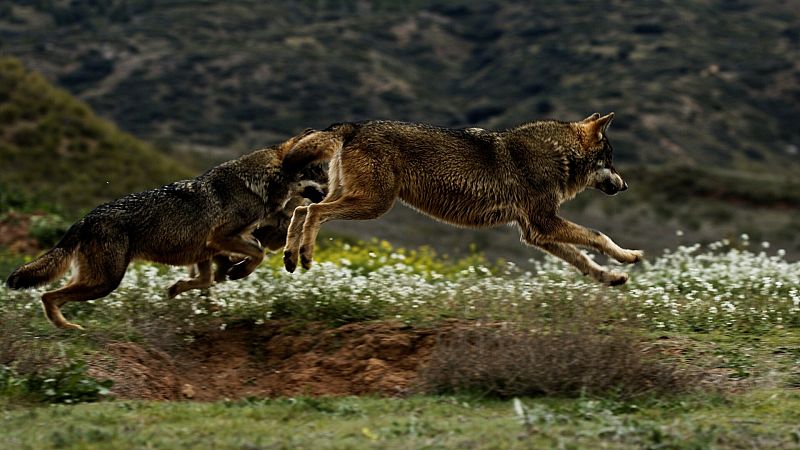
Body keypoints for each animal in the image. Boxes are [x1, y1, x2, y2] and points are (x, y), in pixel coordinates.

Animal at [5, 131, 329, 330]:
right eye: (316, 173)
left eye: (324, 172)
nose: (330, 194)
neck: (258, 184)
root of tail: (84, 219)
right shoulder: (219, 238)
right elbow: (256, 254)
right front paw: (239, 272)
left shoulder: (209, 248)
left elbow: (206, 279)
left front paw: (176, 289)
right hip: (105, 282)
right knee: (48, 296)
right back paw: (68, 327)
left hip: (98, 281)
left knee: (50, 295)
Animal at [283, 113, 643, 285]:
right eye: (610, 160)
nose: (626, 185)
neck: (557, 154)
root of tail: (353, 126)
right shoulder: (544, 222)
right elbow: (598, 235)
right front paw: (628, 256)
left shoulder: (535, 232)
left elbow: (583, 259)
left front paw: (612, 277)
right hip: (373, 204)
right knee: (314, 211)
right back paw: (305, 256)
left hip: (355, 199)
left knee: (300, 210)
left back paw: (290, 257)